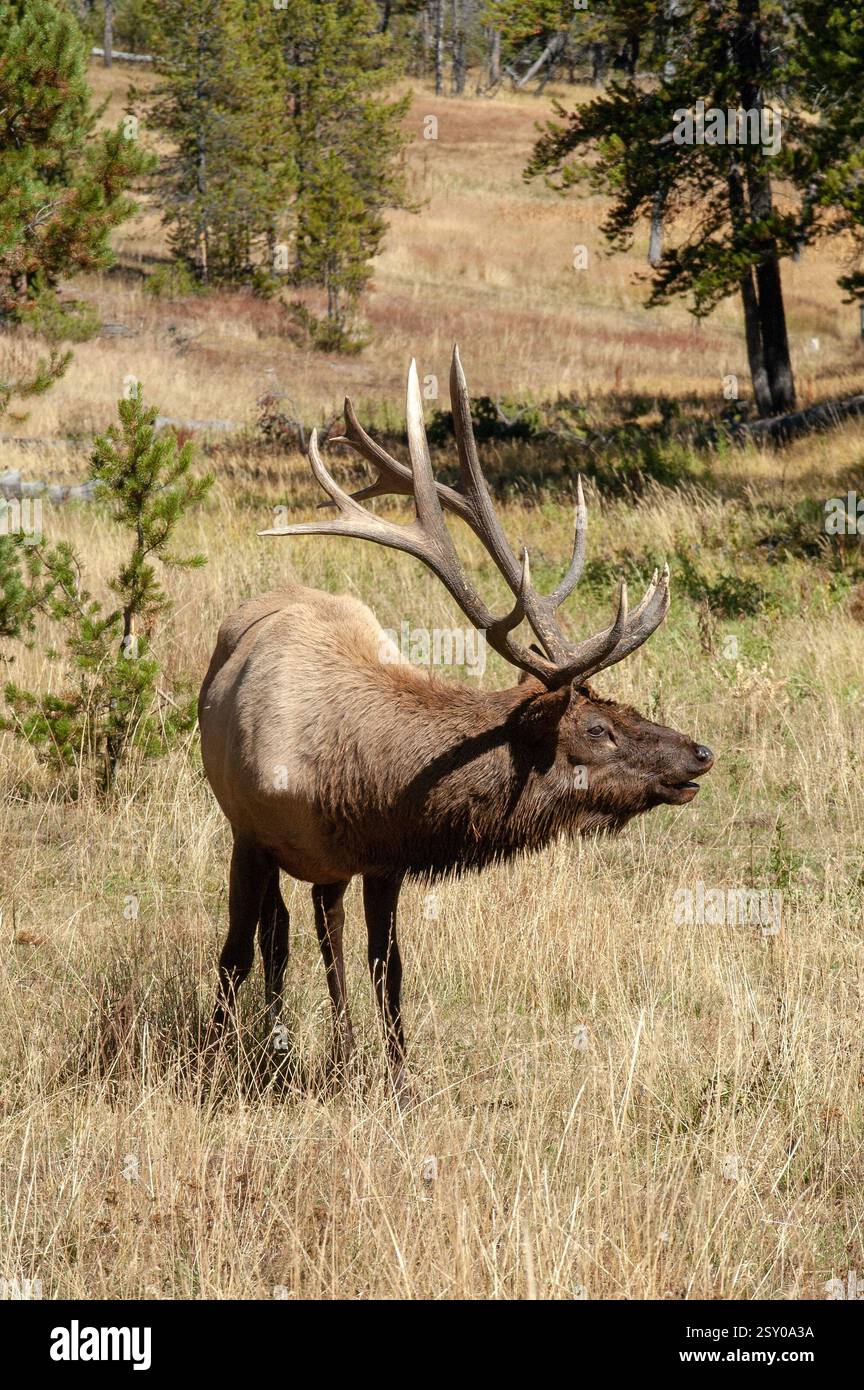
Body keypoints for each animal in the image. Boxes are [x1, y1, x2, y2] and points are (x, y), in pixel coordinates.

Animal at [198, 347, 714, 1096]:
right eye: (596, 729)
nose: (700, 752)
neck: (350, 783)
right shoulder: (251, 834)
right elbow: (233, 953)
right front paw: (208, 1066)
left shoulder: (382, 857)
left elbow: (388, 968)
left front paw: (398, 1081)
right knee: (279, 936)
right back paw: (278, 1044)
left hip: (330, 869)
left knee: (323, 937)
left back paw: (331, 1051)